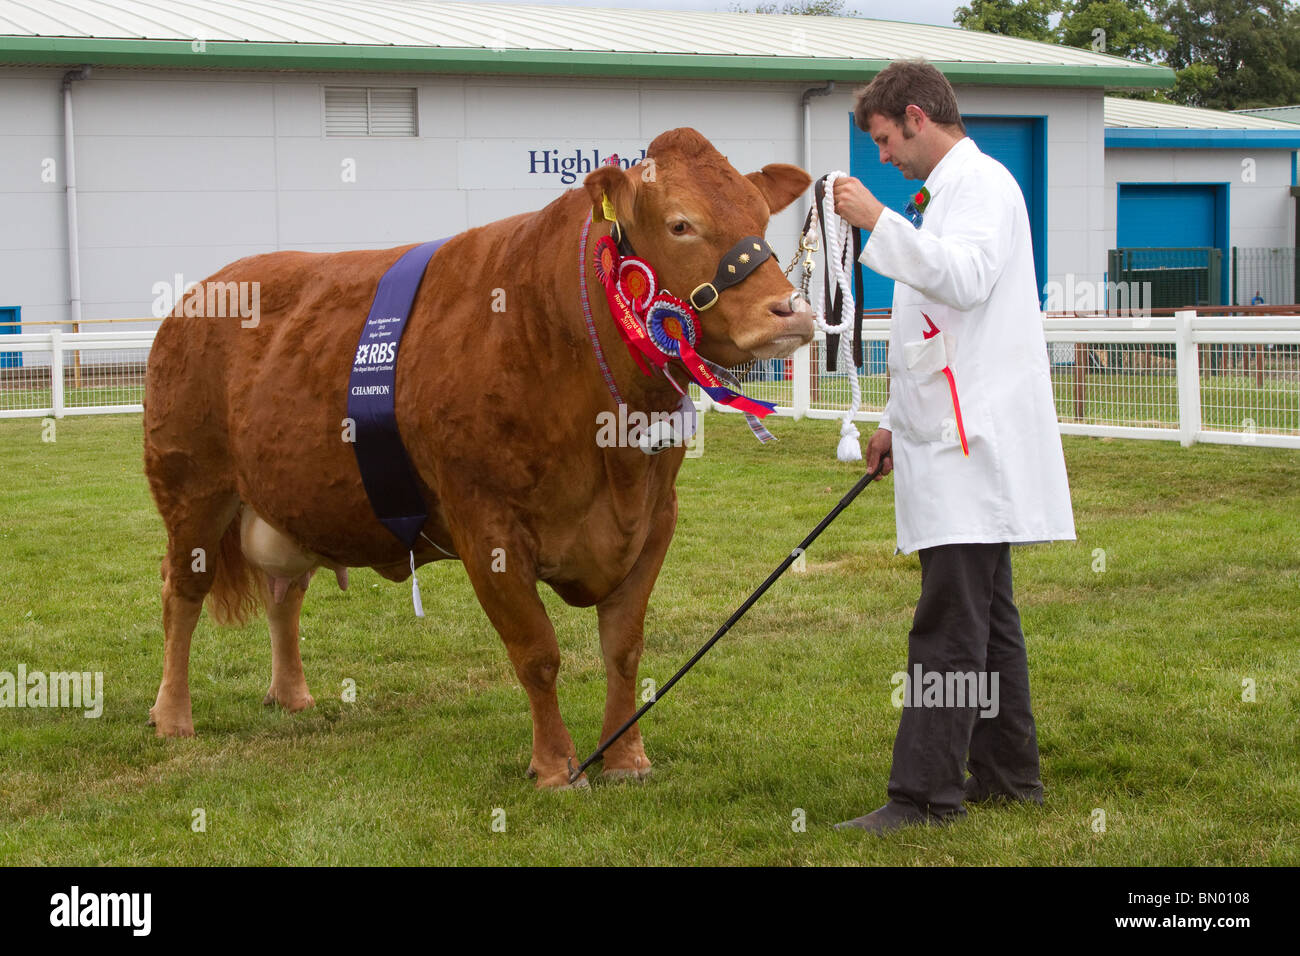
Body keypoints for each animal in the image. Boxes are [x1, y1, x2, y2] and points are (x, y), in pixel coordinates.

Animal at [142, 128, 813, 788]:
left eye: (761, 216)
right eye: (680, 224)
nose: (791, 310)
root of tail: (209, 287)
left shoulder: (654, 517)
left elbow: (623, 648)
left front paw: (626, 758)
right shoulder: (484, 522)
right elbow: (537, 651)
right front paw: (556, 768)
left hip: (289, 500)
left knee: (285, 591)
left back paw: (291, 695)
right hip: (191, 487)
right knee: (182, 592)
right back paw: (172, 717)